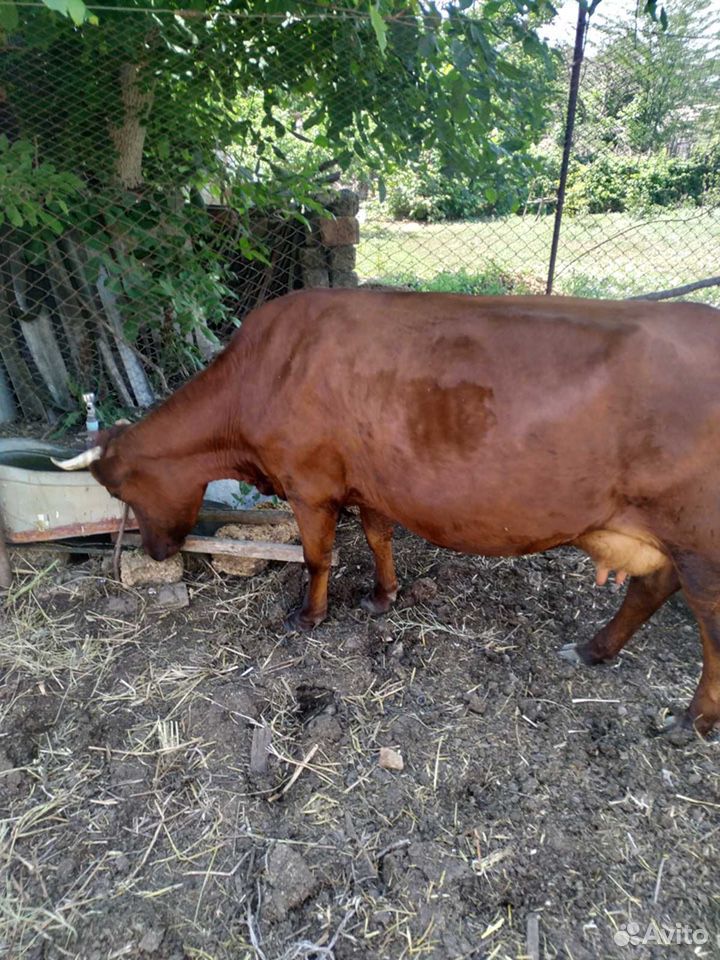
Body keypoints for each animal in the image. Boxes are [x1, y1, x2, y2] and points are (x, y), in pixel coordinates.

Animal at [55, 289, 720, 735]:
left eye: (118, 491)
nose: (153, 552)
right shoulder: (369, 485)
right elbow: (378, 539)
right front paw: (383, 597)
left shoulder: (309, 484)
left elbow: (317, 556)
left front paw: (309, 617)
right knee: (650, 585)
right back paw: (593, 650)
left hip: (701, 541)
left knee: (707, 626)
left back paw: (691, 720)